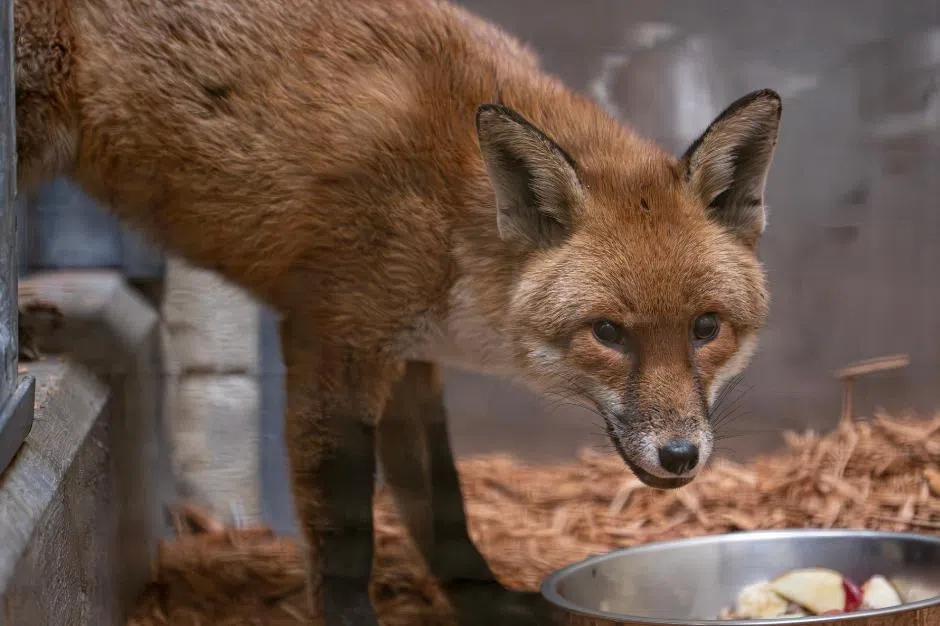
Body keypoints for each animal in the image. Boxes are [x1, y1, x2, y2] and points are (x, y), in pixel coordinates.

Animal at [15, 0, 780, 624]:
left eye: (706, 328)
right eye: (608, 333)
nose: (680, 456)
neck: (449, 211)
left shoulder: (412, 359)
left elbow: (442, 507)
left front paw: (489, 603)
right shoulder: (334, 340)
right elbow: (347, 528)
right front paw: (353, 618)